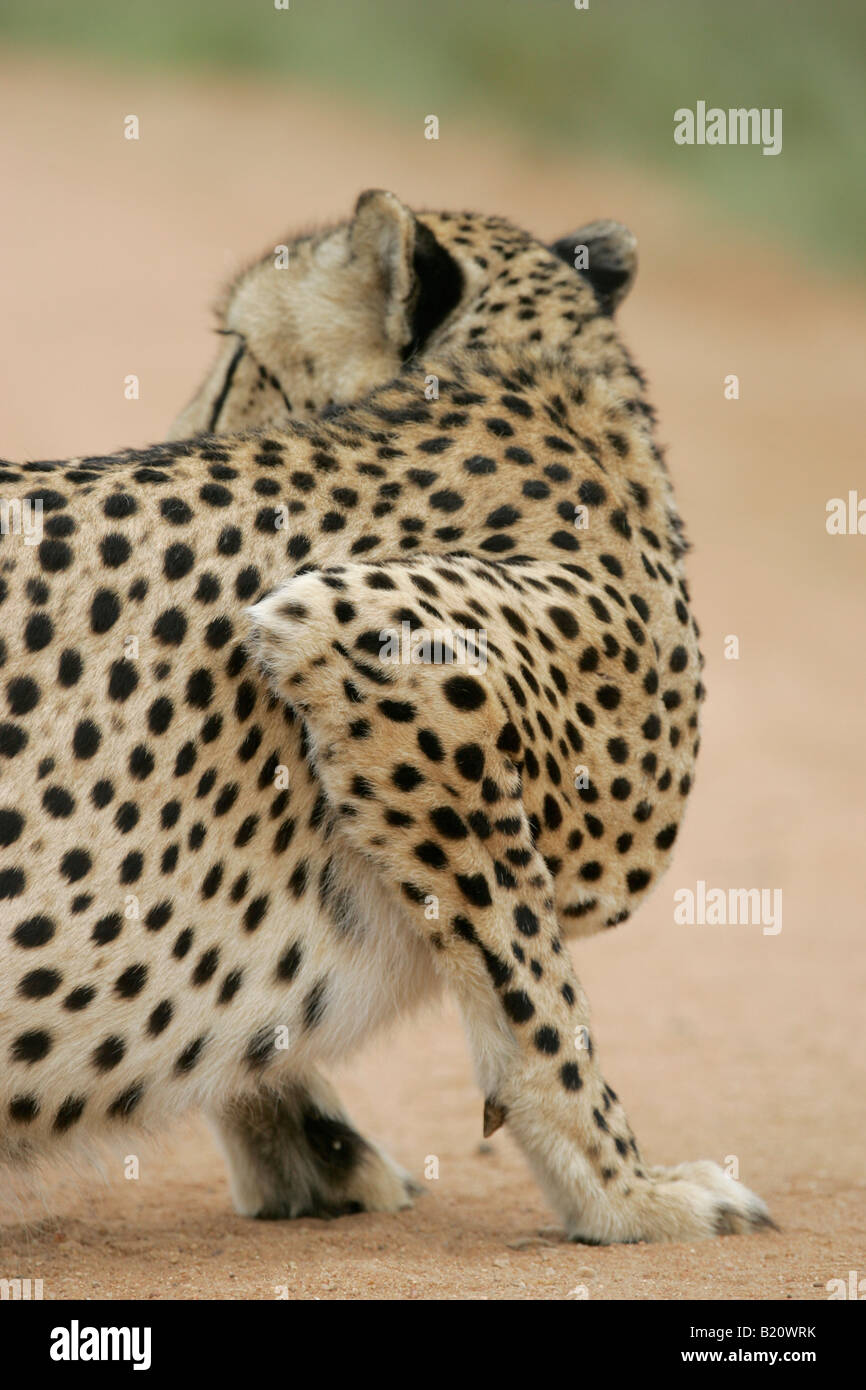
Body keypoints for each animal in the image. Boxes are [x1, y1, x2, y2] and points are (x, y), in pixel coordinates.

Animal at [0, 190, 773, 1244]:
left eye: (239, 353)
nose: (172, 429)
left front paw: (311, 1152)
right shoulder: (374, 647)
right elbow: (541, 1003)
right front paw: (630, 1195)